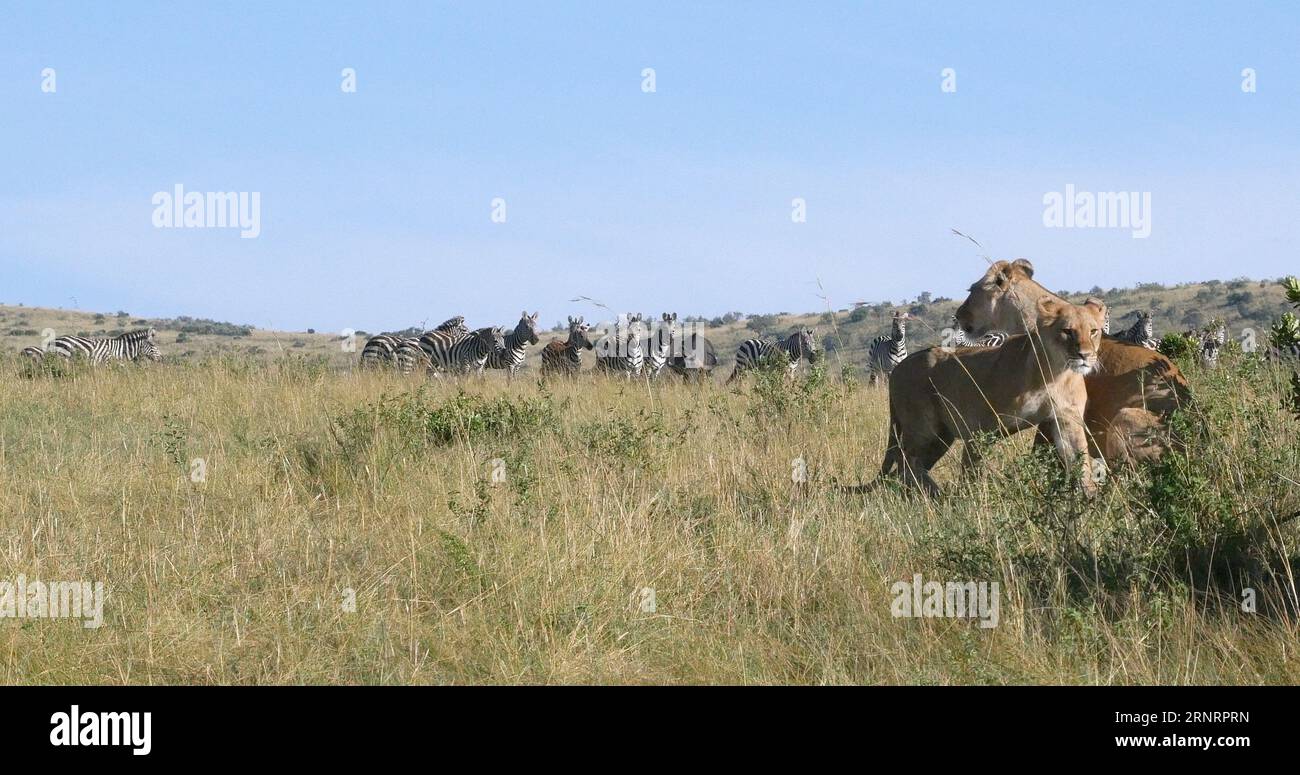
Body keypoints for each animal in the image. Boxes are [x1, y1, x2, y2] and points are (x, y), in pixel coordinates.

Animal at [879, 296, 1105, 497]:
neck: (1055, 373)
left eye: (1093, 331)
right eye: (1067, 331)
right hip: (923, 429)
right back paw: (936, 494)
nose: (1085, 356)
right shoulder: (980, 425)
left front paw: (1089, 499)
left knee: (908, 467)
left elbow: (1080, 460)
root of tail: (898, 368)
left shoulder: (1067, 418)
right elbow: (972, 470)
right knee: (906, 462)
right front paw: (969, 500)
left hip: (941, 436)